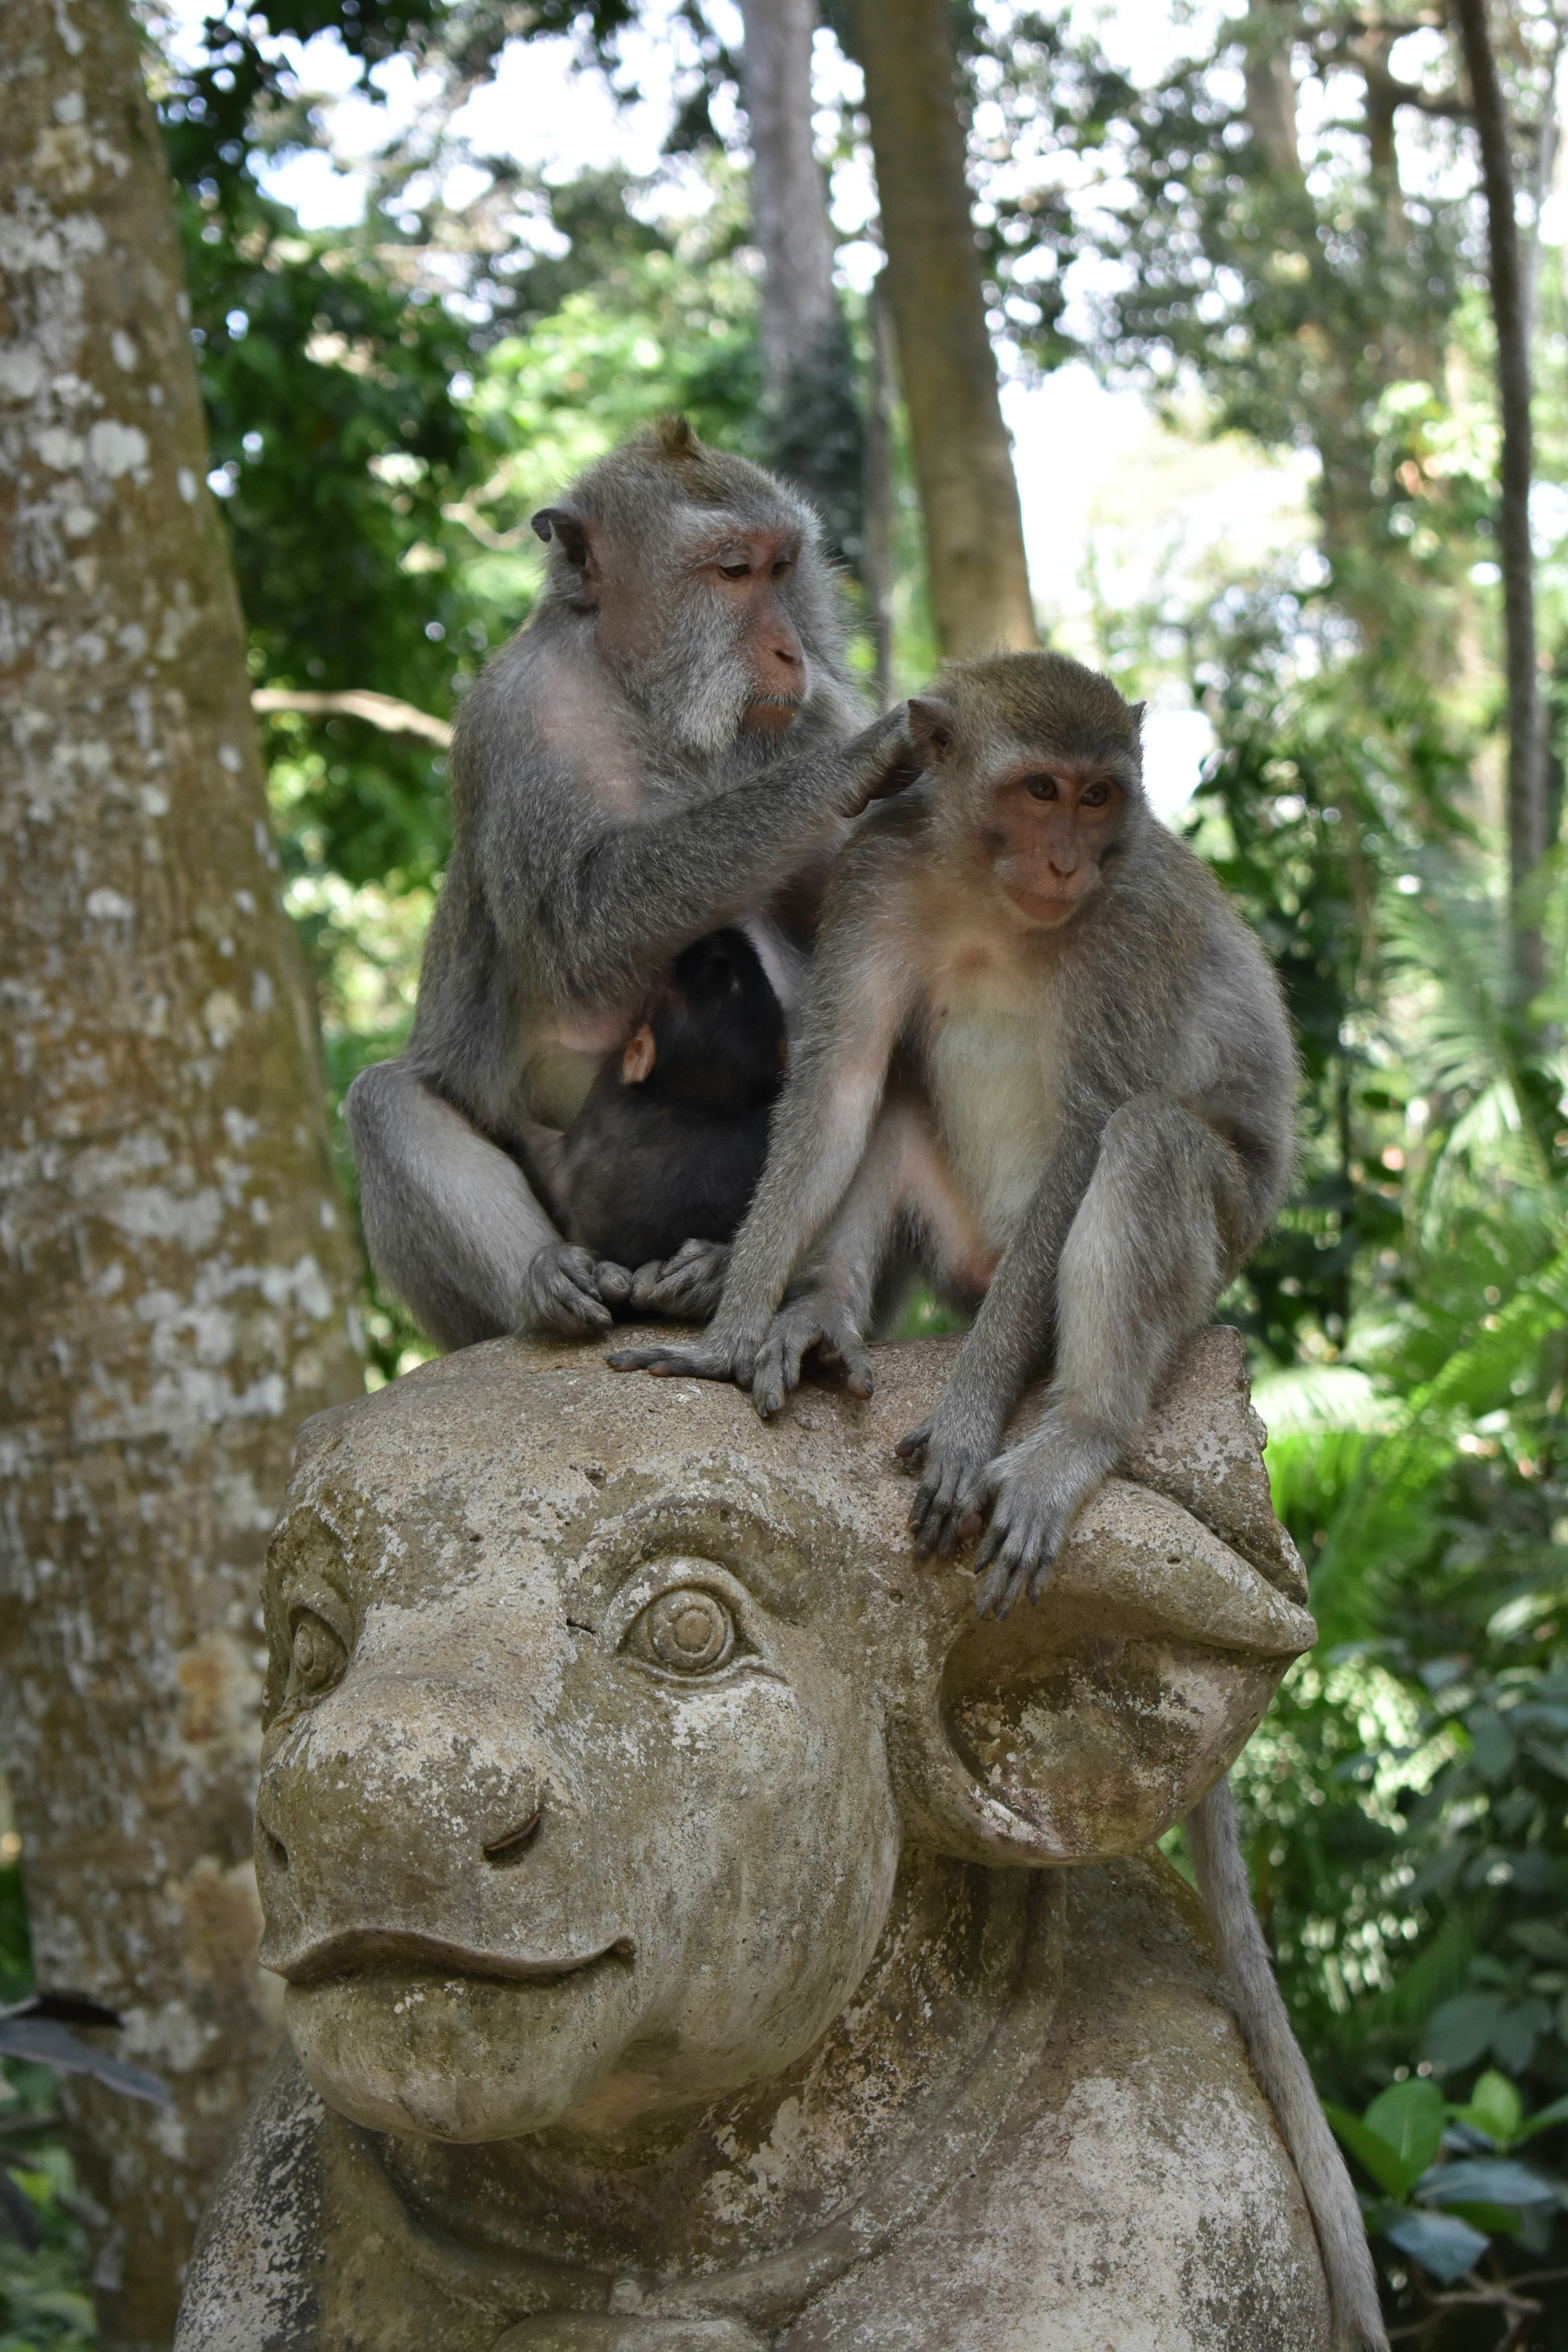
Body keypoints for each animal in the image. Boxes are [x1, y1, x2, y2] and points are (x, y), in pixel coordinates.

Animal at [612, 651, 1389, 2352]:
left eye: (1102, 799)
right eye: (1039, 791)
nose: (1072, 857)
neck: (984, 893)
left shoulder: (1121, 941)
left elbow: (1098, 1138)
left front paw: (968, 1437)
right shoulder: (878, 880)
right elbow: (838, 1086)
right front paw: (727, 1332)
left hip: (1167, 1269)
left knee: (1149, 1150)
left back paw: (1070, 1430)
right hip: (959, 1253)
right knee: (902, 1098)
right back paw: (822, 1326)